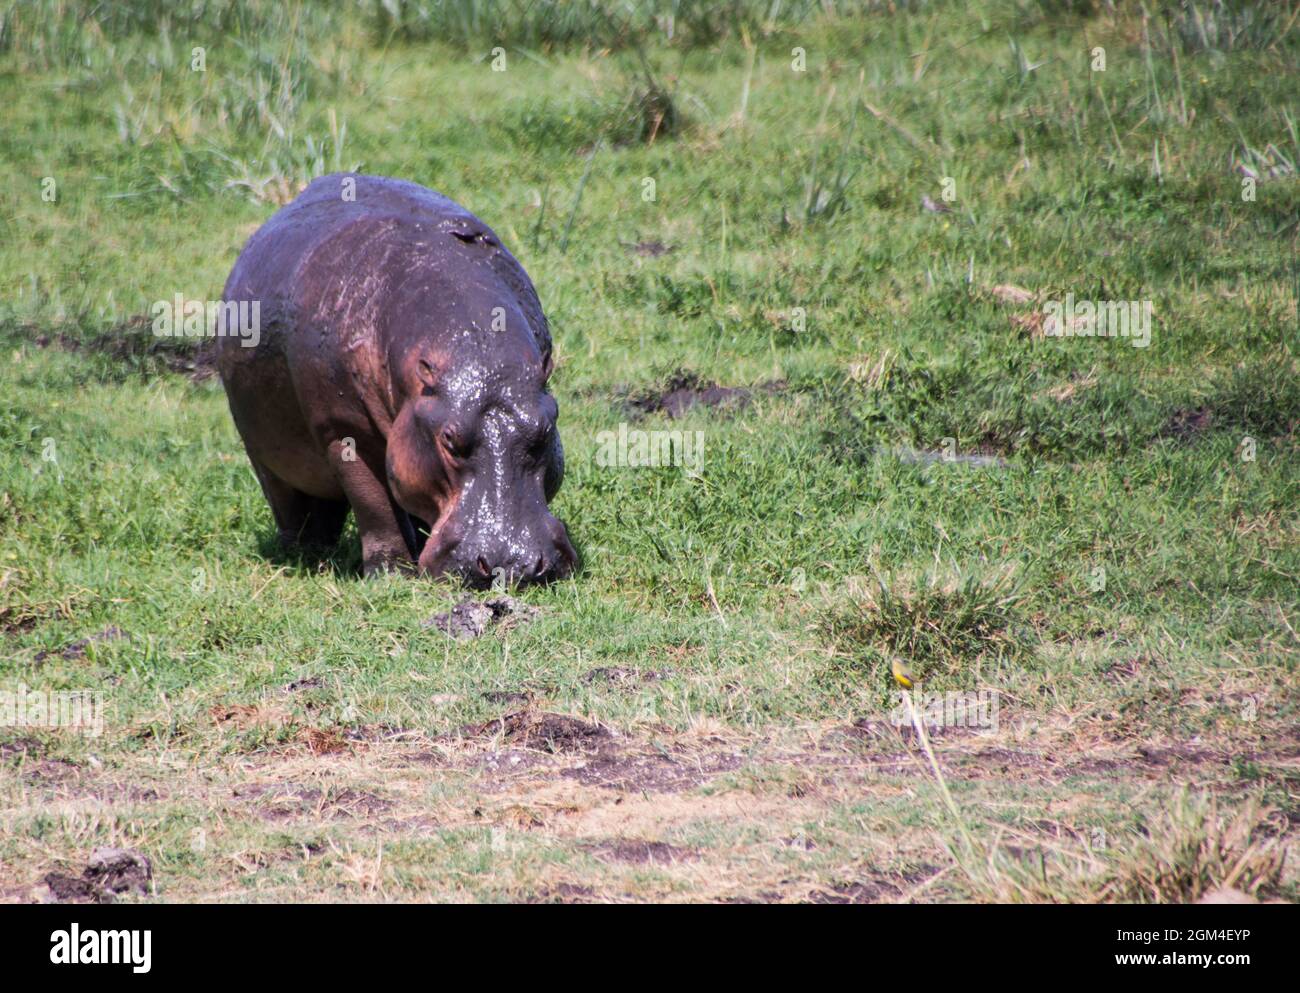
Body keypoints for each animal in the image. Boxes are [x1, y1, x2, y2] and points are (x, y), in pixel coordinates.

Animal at [217, 174, 576, 588]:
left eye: (546, 429)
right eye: (449, 439)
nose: (511, 565)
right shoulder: (343, 431)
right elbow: (374, 505)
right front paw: (390, 574)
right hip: (262, 450)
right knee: (294, 505)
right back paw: (306, 554)